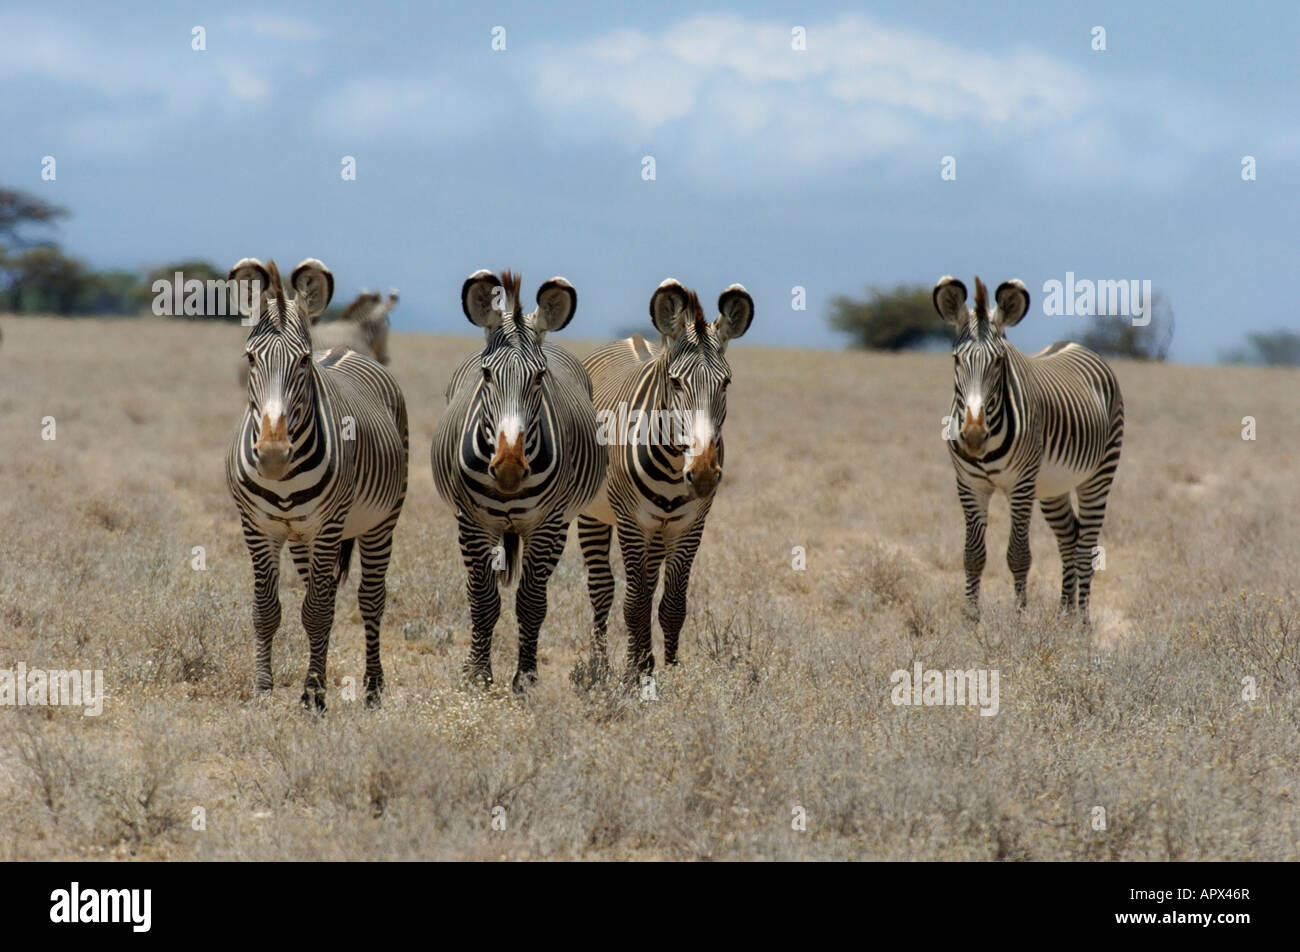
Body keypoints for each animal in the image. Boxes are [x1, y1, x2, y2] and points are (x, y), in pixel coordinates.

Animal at [227, 257, 409, 711]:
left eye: (304, 361)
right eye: (251, 358)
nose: (273, 454)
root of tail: (345, 350)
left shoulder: (328, 526)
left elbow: (317, 612)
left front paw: (312, 696)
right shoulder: (257, 528)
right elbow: (267, 610)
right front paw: (263, 690)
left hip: (381, 521)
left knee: (370, 599)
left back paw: (372, 688)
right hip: (301, 538)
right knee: (321, 594)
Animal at [431, 270, 606, 693]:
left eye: (540, 377)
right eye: (486, 374)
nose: (509, 467)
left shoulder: (547, 524)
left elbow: (531, 603)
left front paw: (525, 678)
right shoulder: (473, 522)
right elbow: (482, 600)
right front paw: (478, 674)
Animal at [577, 279, 754, 678]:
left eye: (726, 383)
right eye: (675, 383)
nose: (702, 474)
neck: (674, 466)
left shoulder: (690, 525)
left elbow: (672, 605)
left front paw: (669, 672)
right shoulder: (631, 521)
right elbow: (635, 603)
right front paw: (634, 676)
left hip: (659, 528)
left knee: (648, 583)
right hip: (593, 514)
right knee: (602, 588)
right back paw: (599, 666)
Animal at [935, 275, 1124, 625]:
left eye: (999, 361)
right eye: (956, 359)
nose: (973, 436)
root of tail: (1074, 344)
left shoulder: (1020, 485)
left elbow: (1018, 555)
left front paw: (1020, 618)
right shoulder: (970, 485)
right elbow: (972, 554)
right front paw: (970, 619)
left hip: (1099, 475)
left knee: (1085, 546)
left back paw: (1081, 621)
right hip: (1052, 487)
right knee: (1069, 538)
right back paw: (1064, 613)